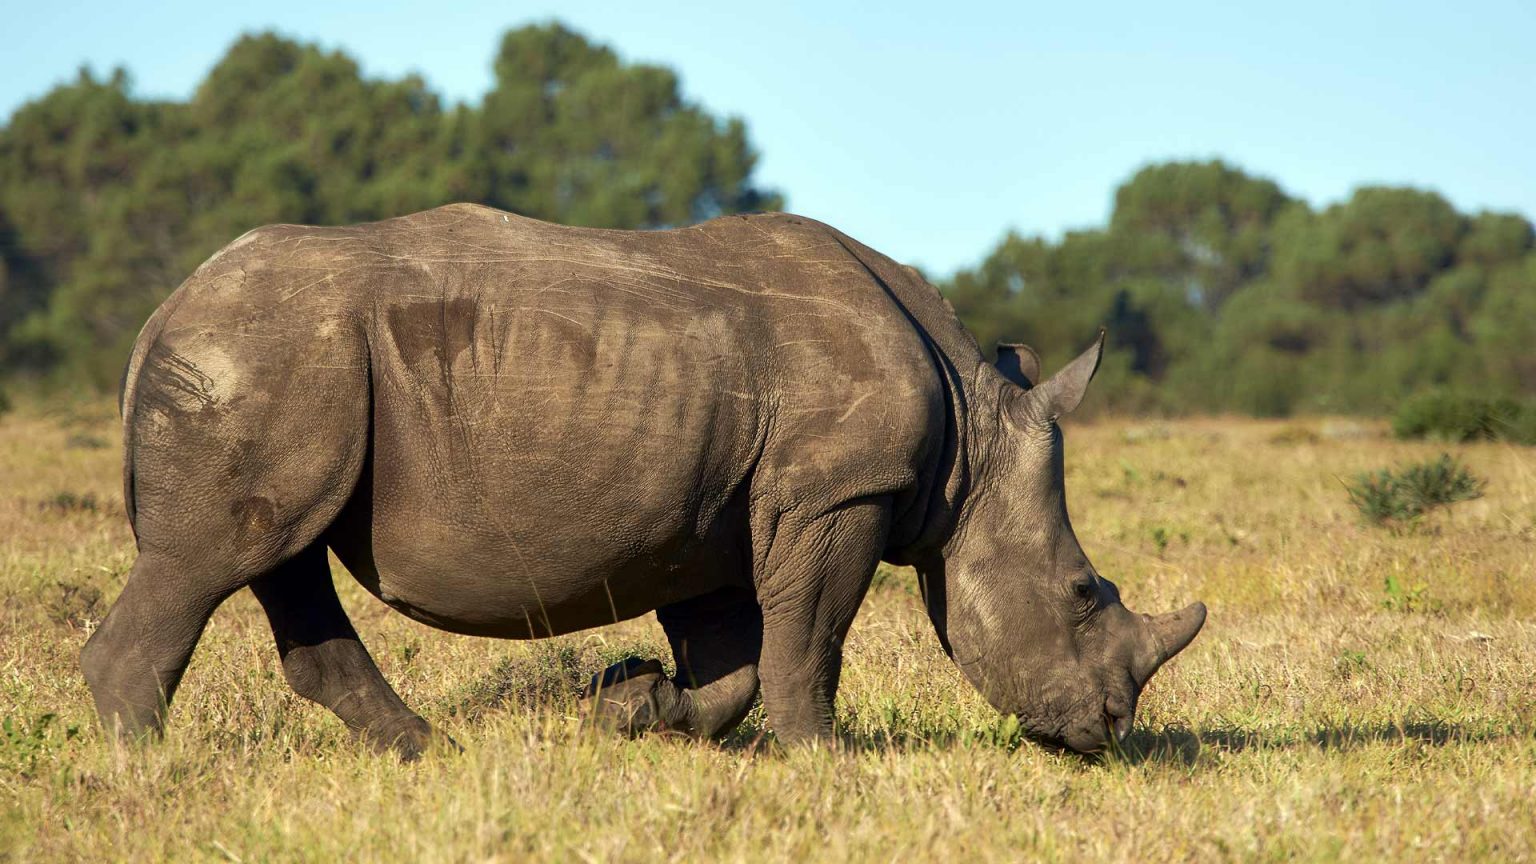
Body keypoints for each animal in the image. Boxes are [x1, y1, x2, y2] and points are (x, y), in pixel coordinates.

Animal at [81, 205, 1206, 757]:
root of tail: (157, 314)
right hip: (260, 359)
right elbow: (809, 640)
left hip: (285, 369)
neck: (974, 440)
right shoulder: (839, 493)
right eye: (1082, 592)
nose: (1110, 736)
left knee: (283, 559)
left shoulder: (719, 512)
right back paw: (152, 770)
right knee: (214, 560)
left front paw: (624, 709)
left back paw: (423, 752)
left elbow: (734, 664)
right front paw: (828, 760)